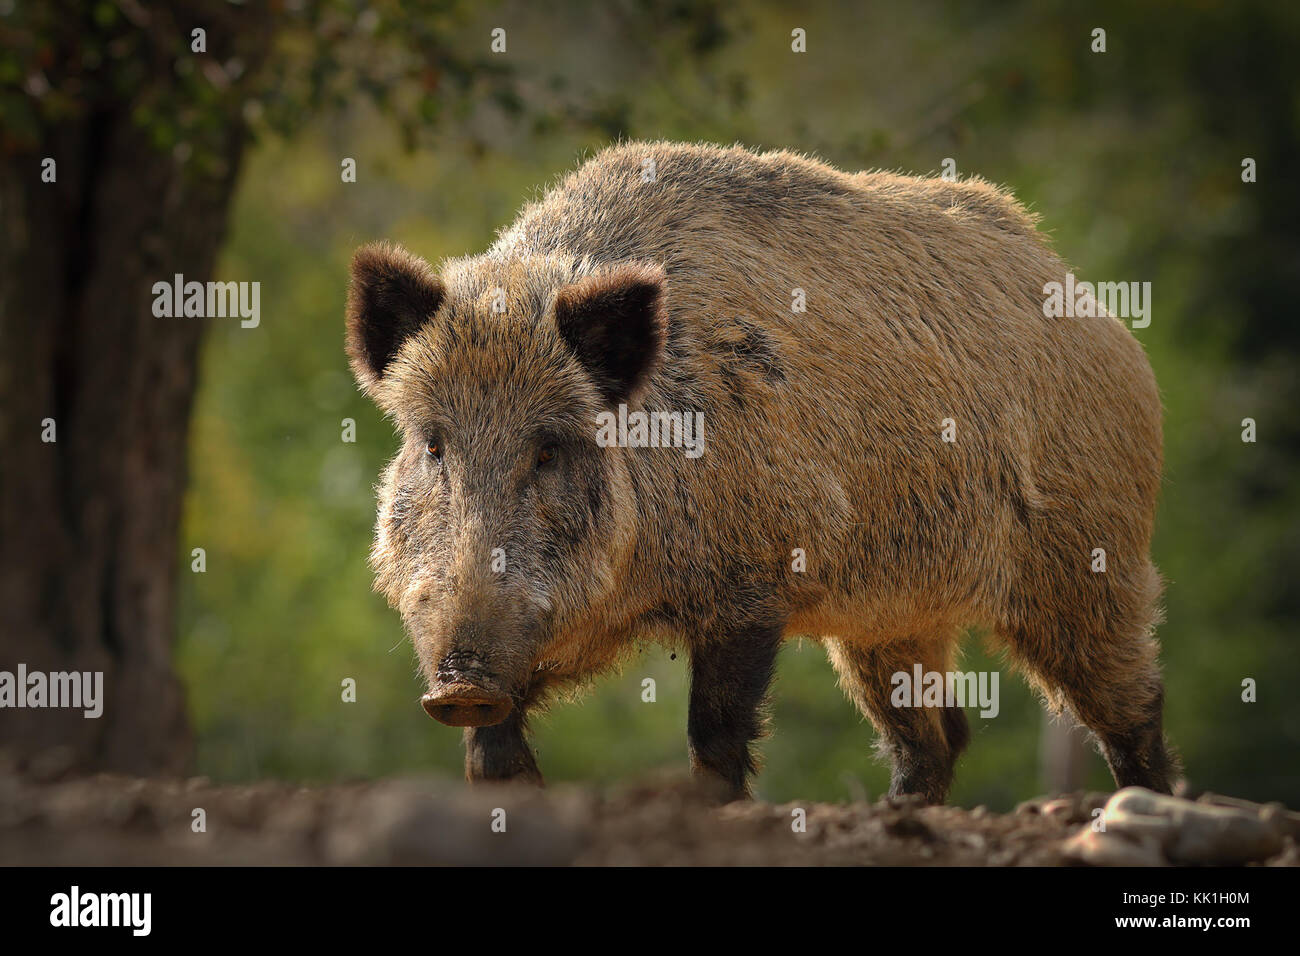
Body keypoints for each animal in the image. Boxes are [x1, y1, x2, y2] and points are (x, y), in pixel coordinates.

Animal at [345, 141, 1177, 803]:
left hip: (1087, 560)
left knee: (1133, 707)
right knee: (936, 736)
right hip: (893, 617)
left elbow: (713, 735)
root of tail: (1097, 308)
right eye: (433, 445)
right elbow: (494, 759)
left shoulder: (754, 581)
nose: (459, 686)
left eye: (549, 448)